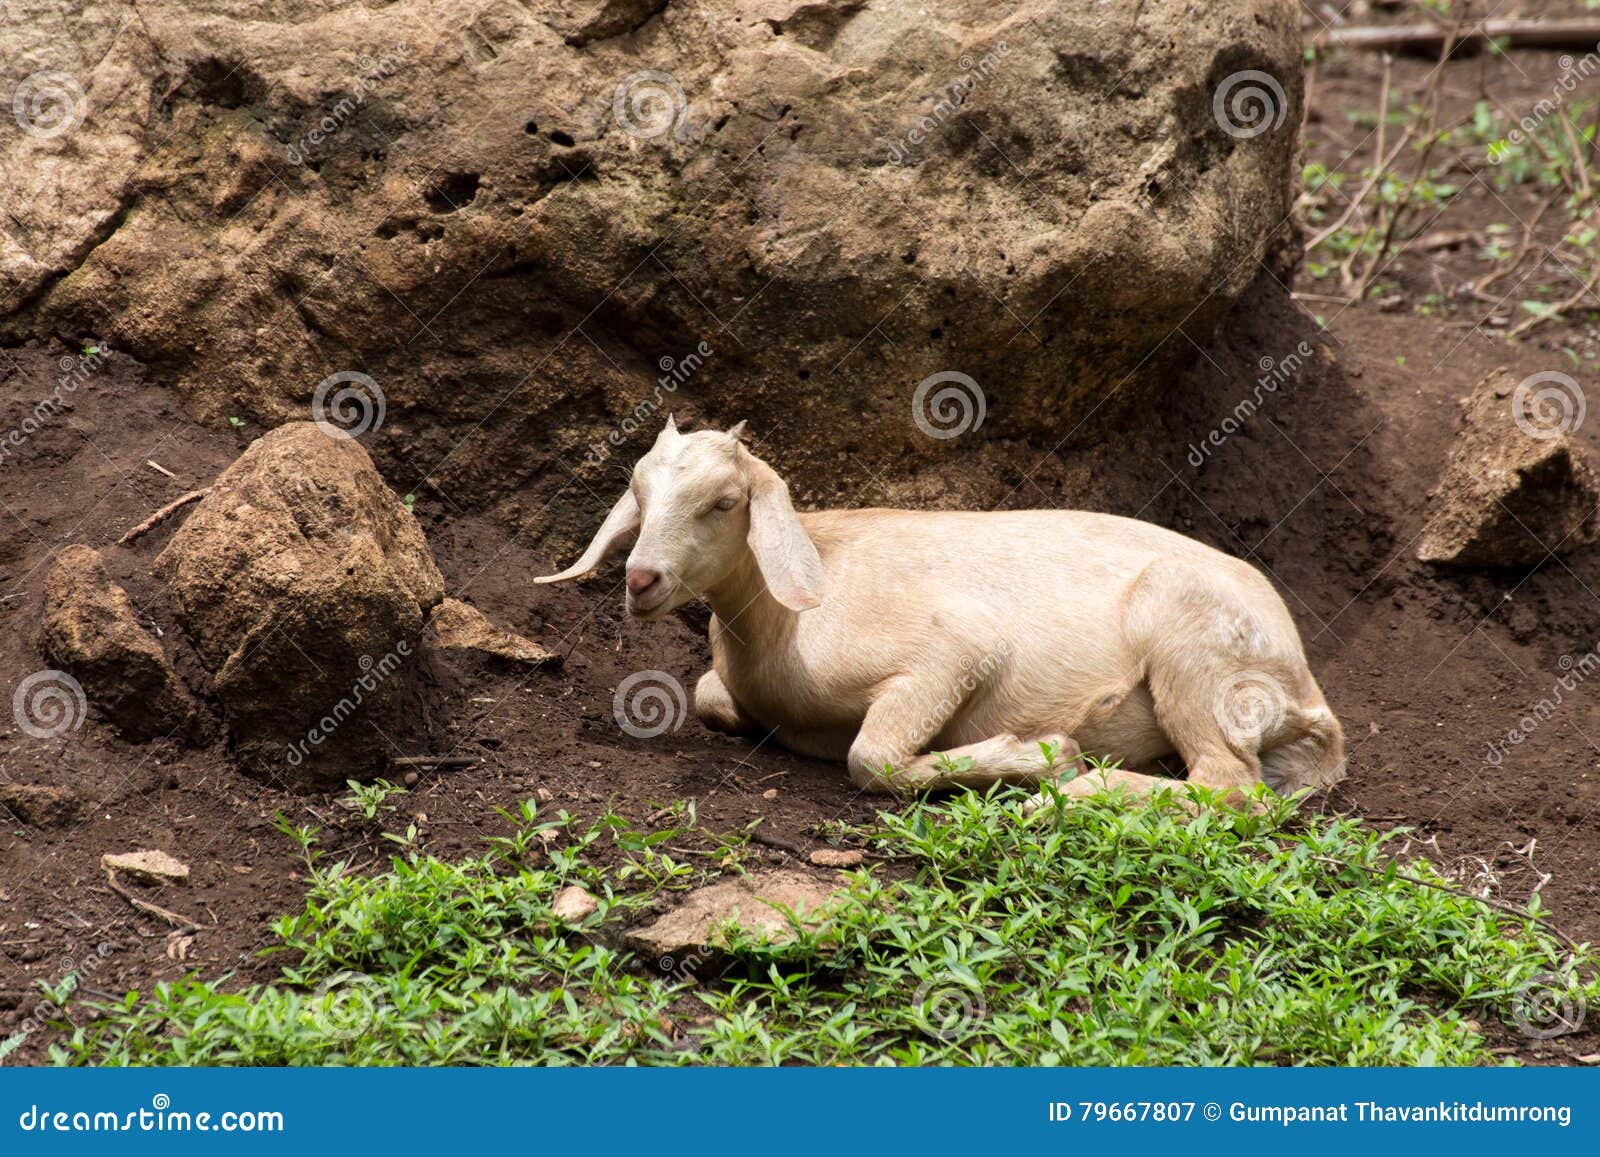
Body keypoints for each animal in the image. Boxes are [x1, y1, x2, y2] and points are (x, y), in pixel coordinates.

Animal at [536, 419, 1345, 807]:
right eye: (638, 491)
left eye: (725, 502)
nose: (641, 579)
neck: (782, 626)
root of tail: (1310, 695)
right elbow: (708, 694)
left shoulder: (956, 650)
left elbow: (871, 757)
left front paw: (1040, 754)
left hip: (1198, 654)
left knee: (1230, 784)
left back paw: (1078, 788)